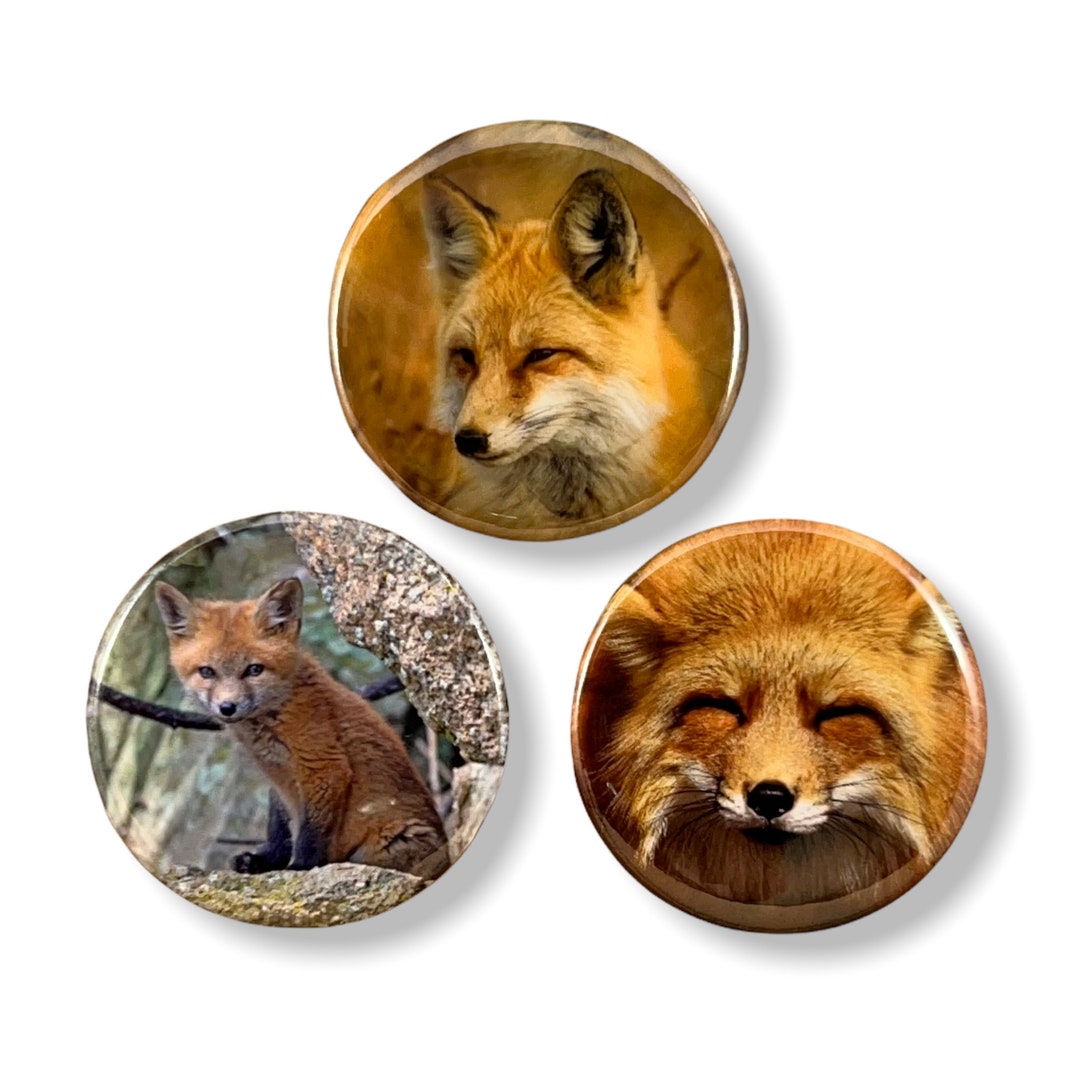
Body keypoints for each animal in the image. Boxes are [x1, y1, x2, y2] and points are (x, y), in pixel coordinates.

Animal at [154, 577, 449, 878]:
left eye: (254, 670)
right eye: (207, 672)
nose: (227, 707)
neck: (275, 714)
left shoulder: (323, 765)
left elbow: (311, 834)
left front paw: (301, 868)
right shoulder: (278, 777)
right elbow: (280, 827)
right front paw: (267, 861)